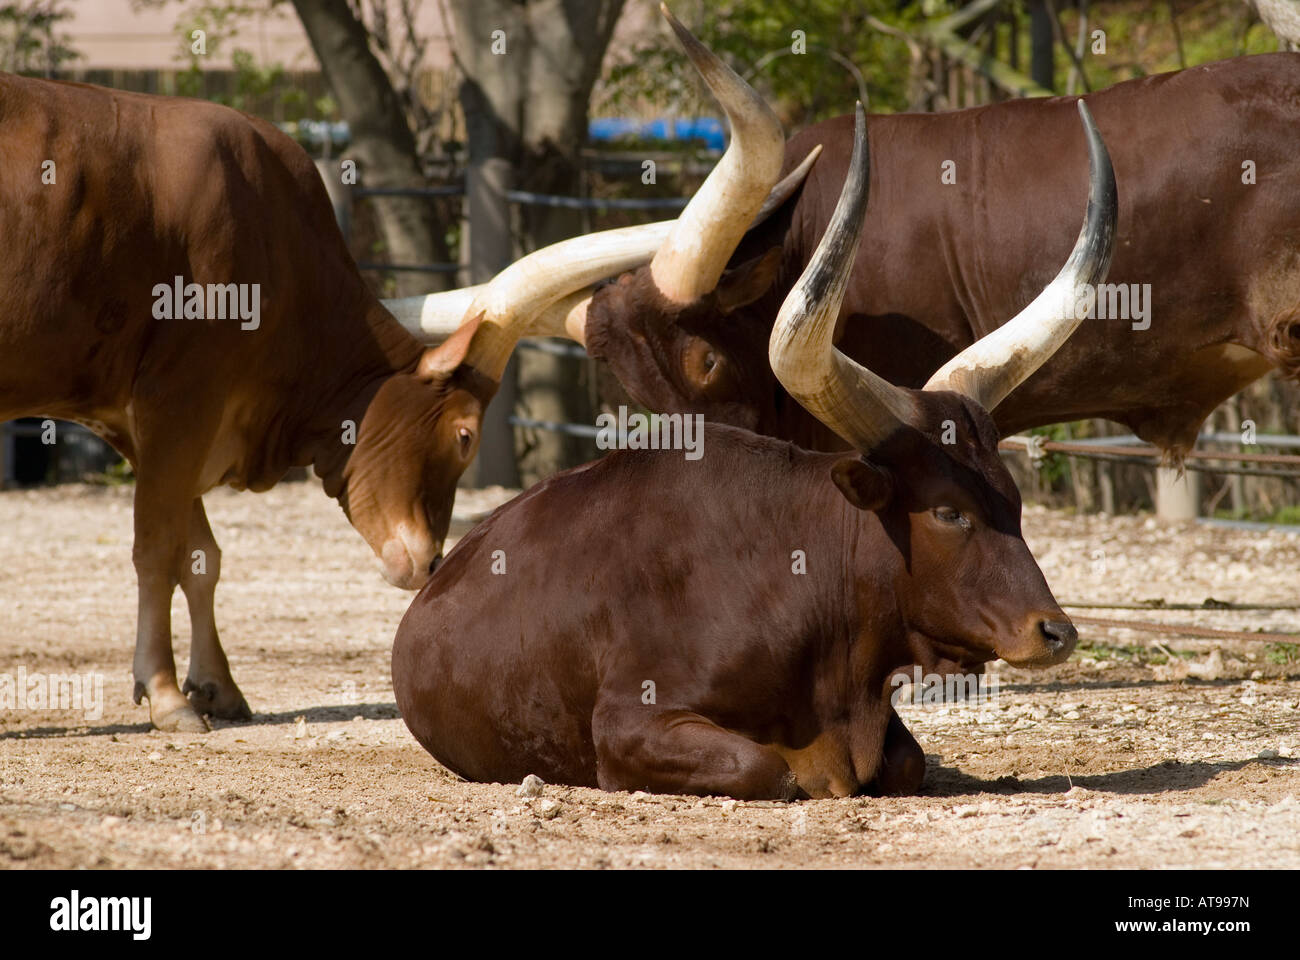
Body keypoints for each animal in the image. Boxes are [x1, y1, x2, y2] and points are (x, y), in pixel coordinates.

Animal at [391, 99, 1116, 799]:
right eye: (947, 511)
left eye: (1014, 503)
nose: (1056, 631)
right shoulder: (629, 722)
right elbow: (769, 769)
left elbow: (906, 761)